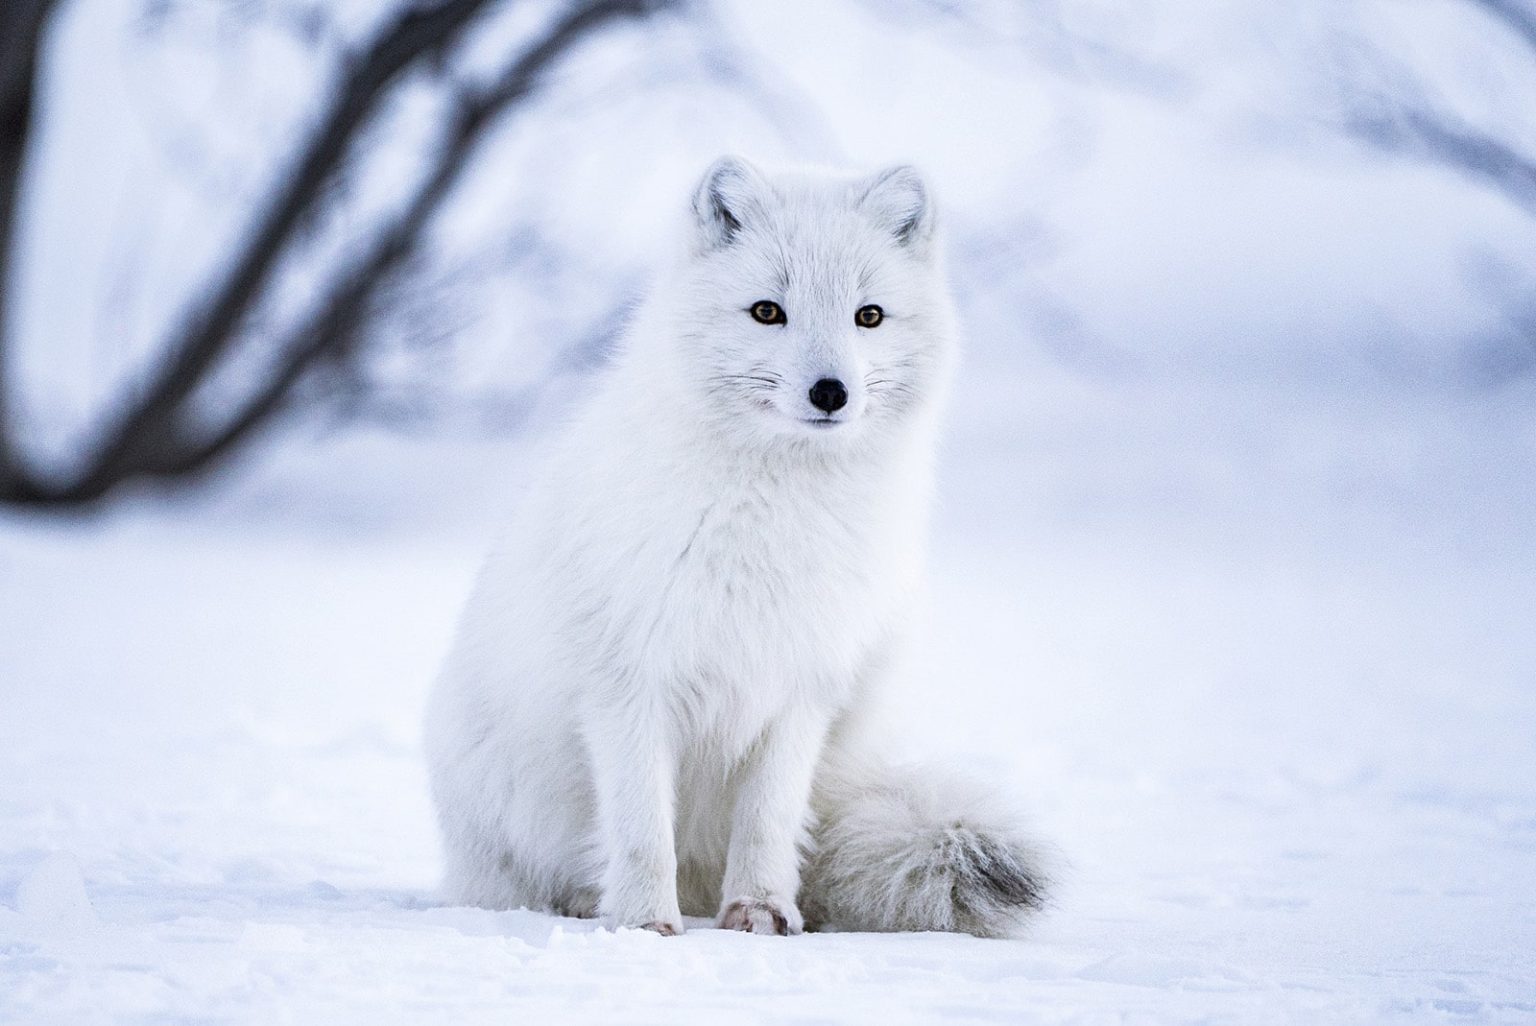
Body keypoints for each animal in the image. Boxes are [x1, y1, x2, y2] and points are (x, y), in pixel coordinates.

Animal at [423, 156, 1047, 937]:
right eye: (767, 312)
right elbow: (640, 827)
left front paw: (760, 911)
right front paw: (643, 924)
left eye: (868, 315)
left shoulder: (802, 687)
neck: (772, 516)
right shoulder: (628, 683)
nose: (831, 391)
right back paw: (583, 903)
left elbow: (768, 820)